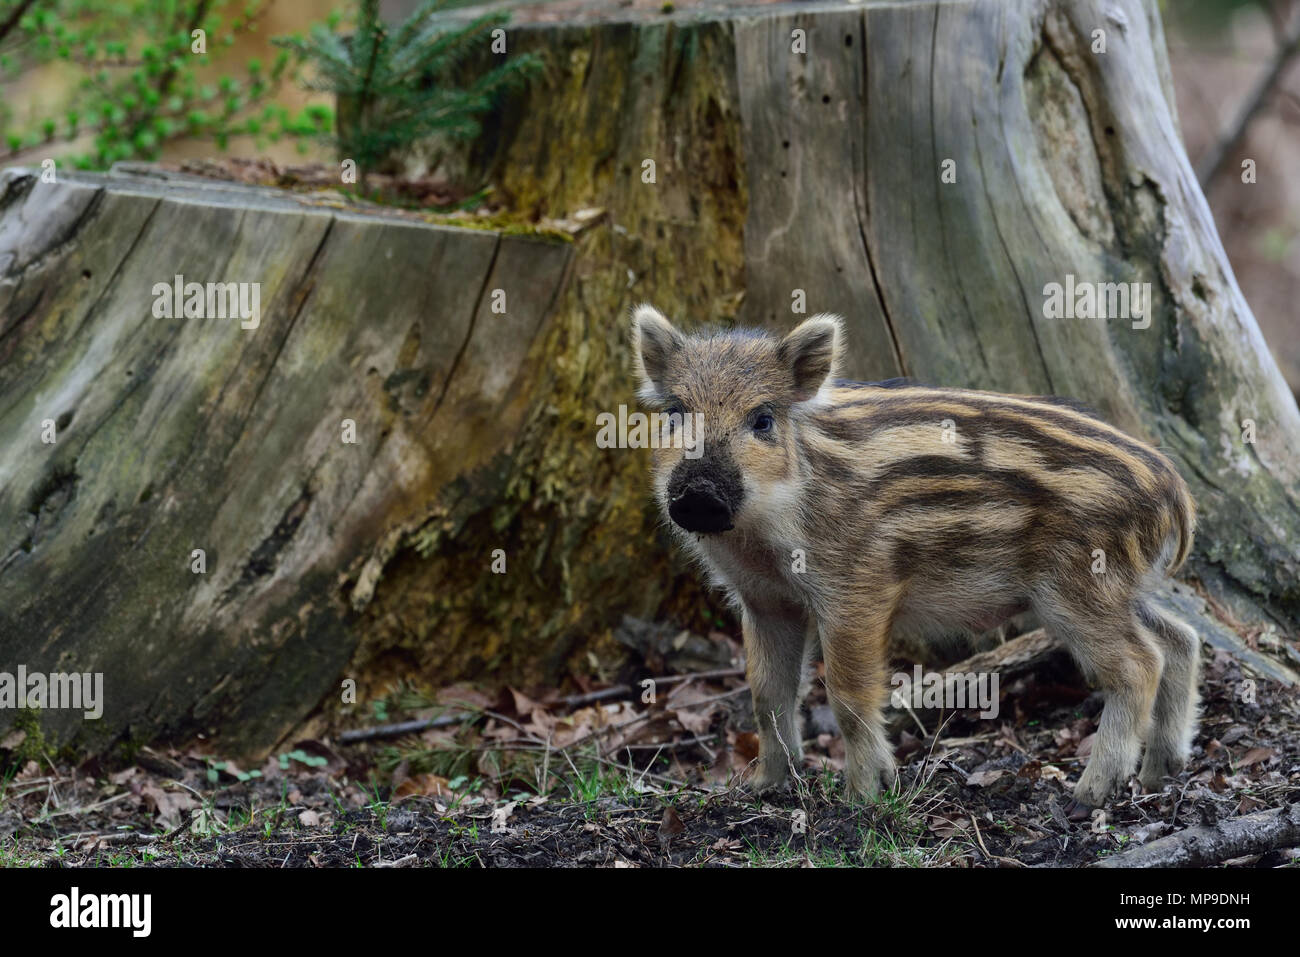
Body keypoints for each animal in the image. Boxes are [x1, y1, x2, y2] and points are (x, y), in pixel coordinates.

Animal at [630, 304, 1199, 808]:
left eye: (763, 419)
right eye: (676, 413)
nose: (698, 493)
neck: (767, 527)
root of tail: (1173, 487)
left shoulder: (857, 584)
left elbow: (848, 694)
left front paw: (863, 796)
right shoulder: (765, 600)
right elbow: (768, 694)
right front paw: (767, 788)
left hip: (1079, 585)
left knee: (1140, 663)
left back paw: (1091, 792)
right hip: (1121, 585)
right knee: (1180, 640)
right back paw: (1160, 772)